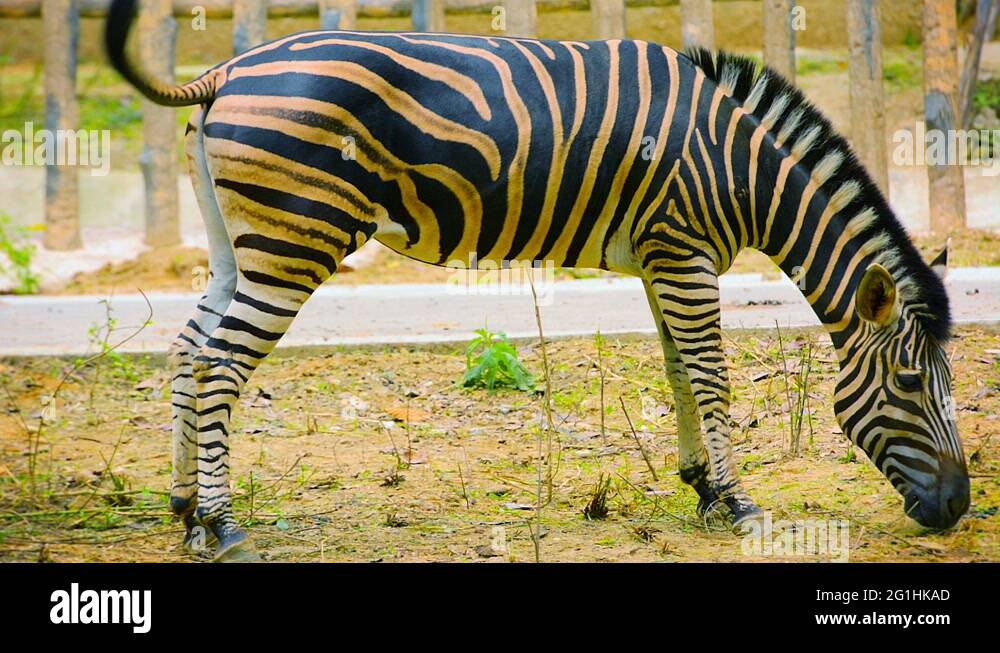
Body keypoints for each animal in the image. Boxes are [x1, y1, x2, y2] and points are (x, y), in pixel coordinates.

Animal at [106, 0, 970, 561]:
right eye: (908, 384)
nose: (959, 507)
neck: (742, 165)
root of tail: (224, 69)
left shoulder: (661, 257)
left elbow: (677, 372)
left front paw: (698, 485)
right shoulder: (685, 252)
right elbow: (711, 376)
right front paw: (736, 501)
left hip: (239, 245)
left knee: (188, 351)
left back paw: (184, 511)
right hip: (295, 240)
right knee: (219, 365)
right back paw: (222, 525)